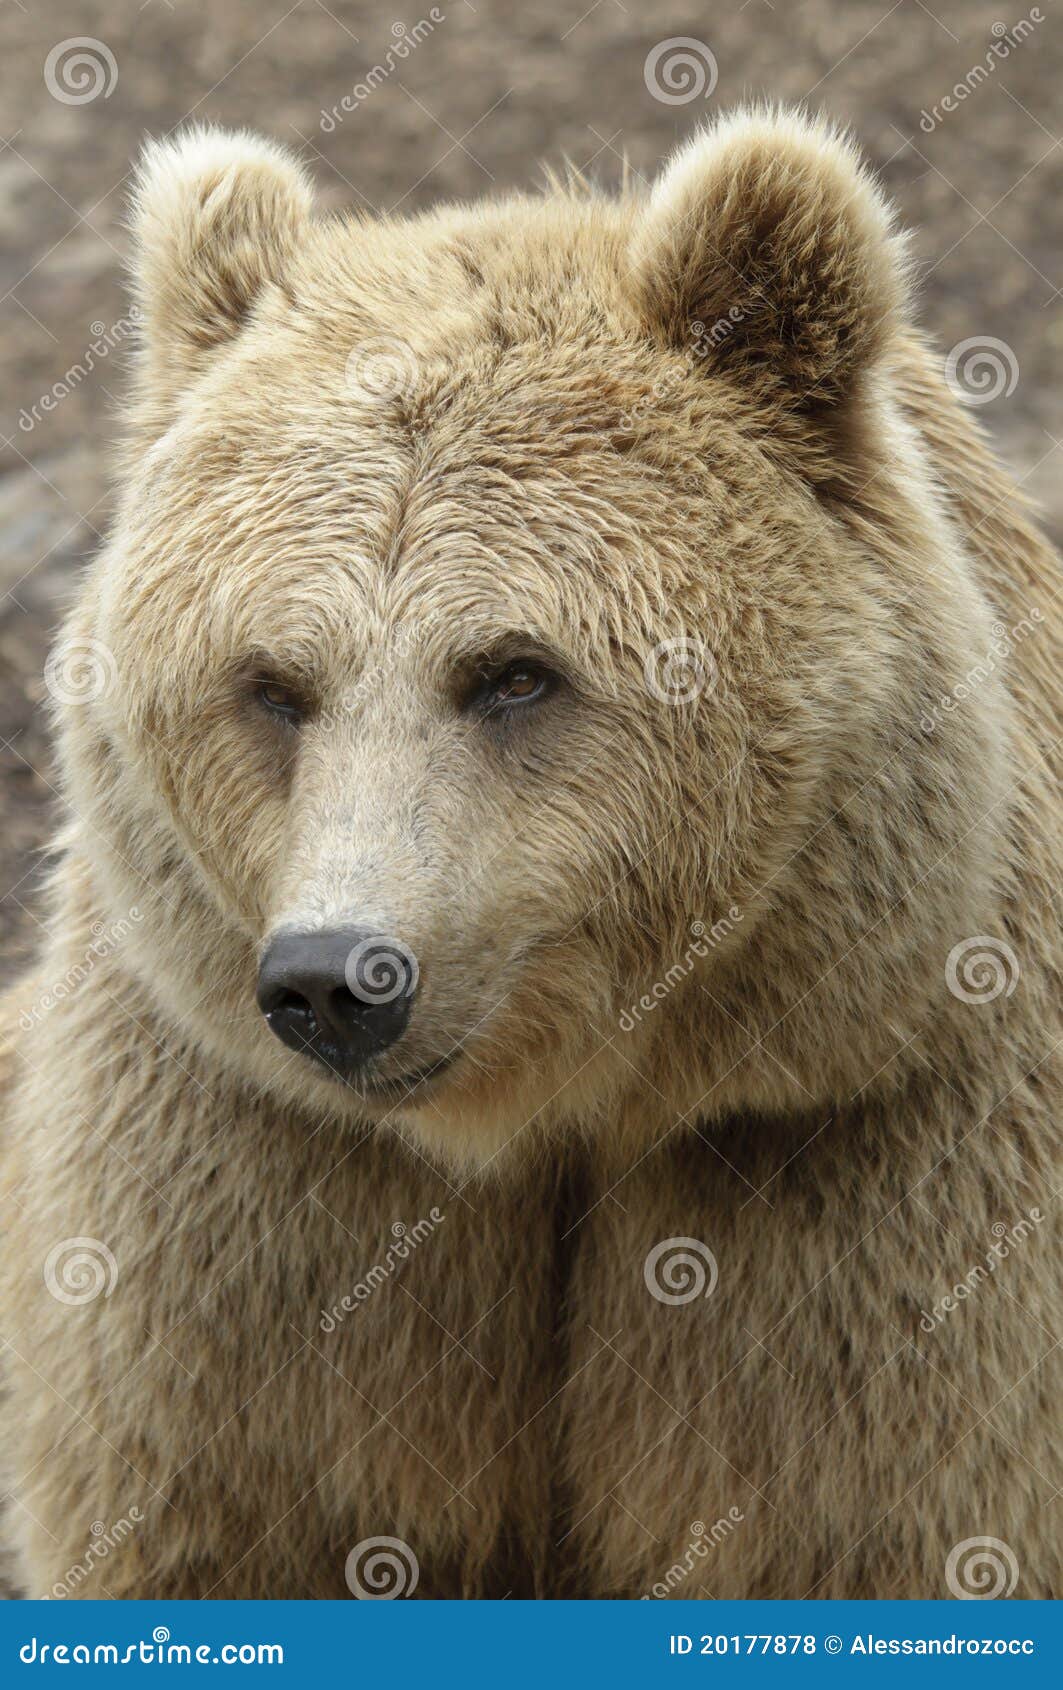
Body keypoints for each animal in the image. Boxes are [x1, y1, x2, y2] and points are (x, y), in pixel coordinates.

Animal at [1, 107, 1060, 1601]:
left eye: (511, 672)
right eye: (272, 683)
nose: (338, 977)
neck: (553, 1114)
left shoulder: (865, 1154)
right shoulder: (246, 1175)